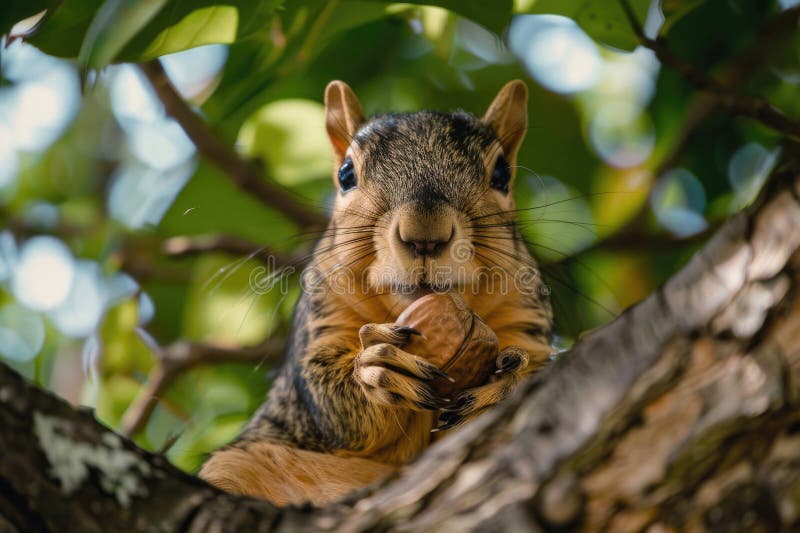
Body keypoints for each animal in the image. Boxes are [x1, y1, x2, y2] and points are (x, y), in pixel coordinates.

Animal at [199, 80, 553, 506]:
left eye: (501, 173)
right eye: (346, 174)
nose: (424, 235)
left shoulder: (525, 317)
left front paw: (507, 387)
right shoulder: (322, 318)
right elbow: (329, 398)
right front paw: (376, 371)